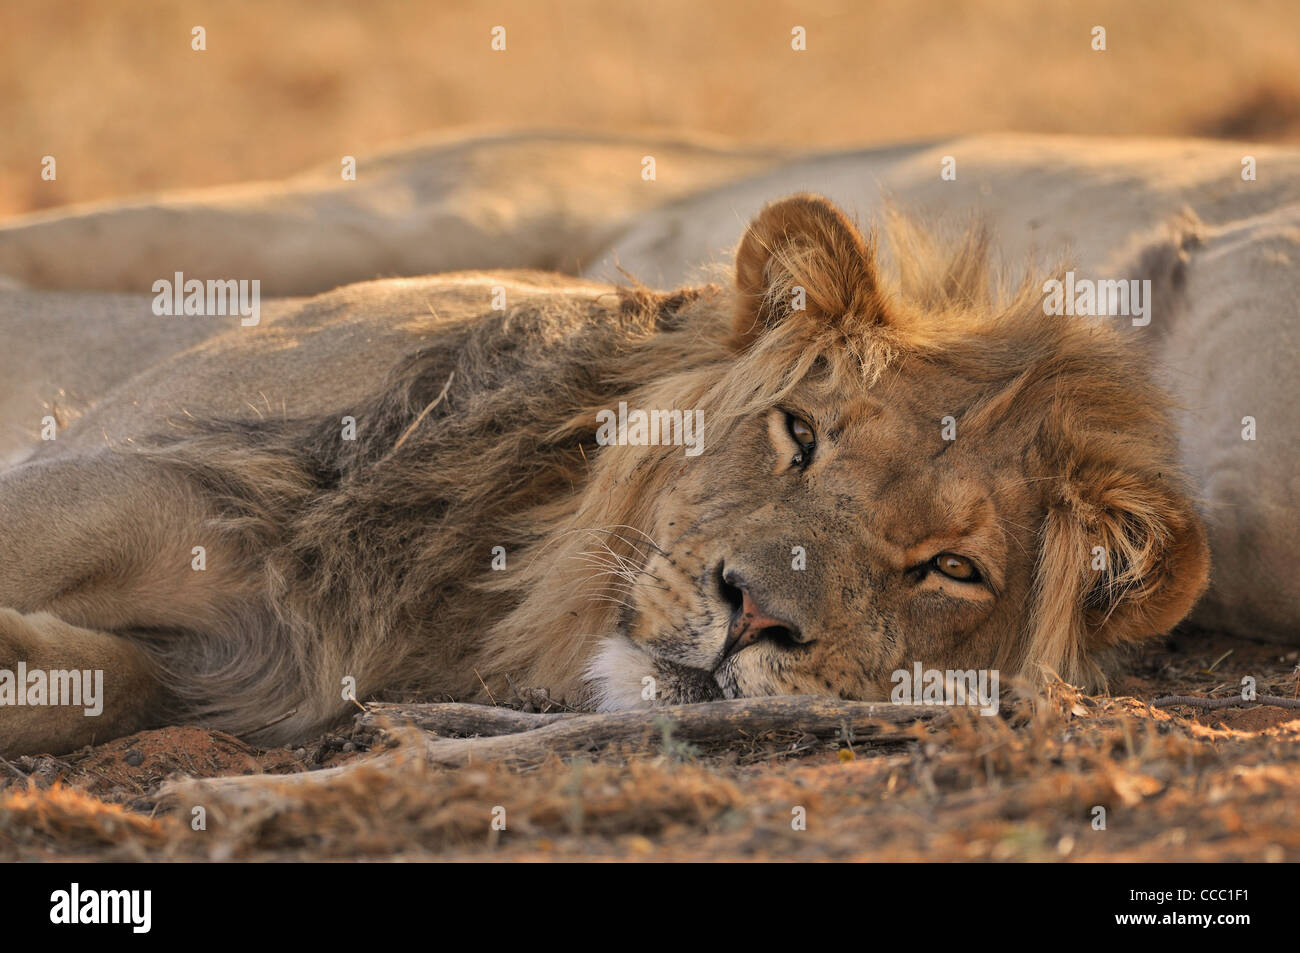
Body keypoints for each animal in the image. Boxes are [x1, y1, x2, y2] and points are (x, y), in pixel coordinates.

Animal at [0, 194, 1210, 756]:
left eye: (952, 568)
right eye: (800, 432)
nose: (755, 611)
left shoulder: (252, 651)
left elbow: (113, 679)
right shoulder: (155, 473)